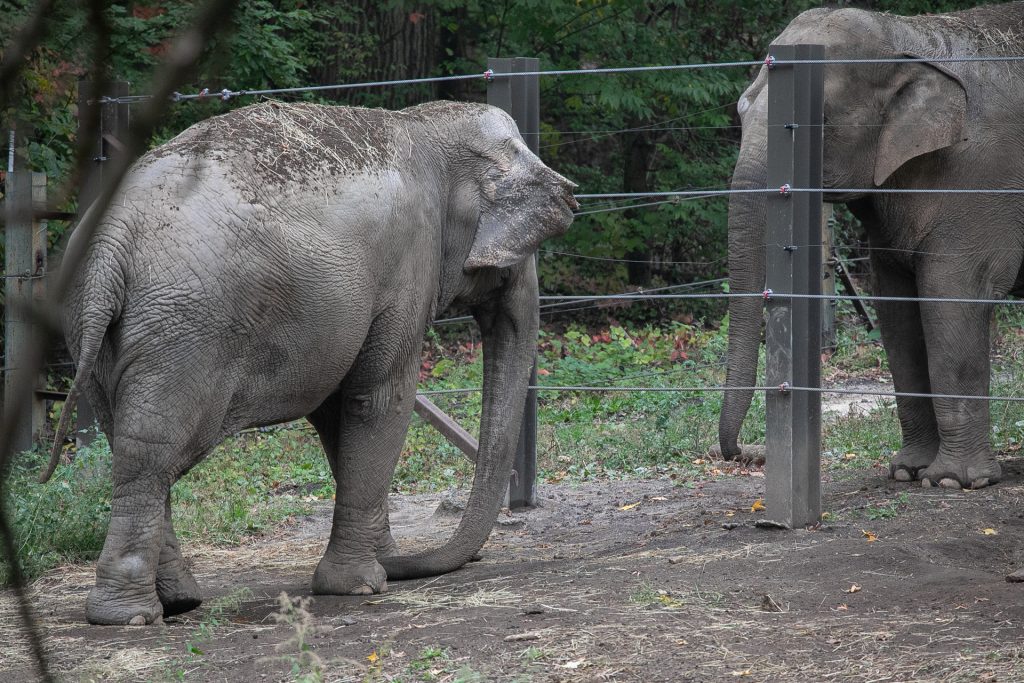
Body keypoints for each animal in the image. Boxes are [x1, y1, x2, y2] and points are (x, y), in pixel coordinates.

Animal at [45, 99, 577, 625]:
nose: (475, 556)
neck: (423, 123)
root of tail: (110, 241)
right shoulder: (407, 268)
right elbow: (379, 399)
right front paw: (362, 584)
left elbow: (336, 413)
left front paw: (381, 563)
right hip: (183, 331)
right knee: (152, 455)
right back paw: (130, 615)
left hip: (98, 330)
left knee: (129, 442)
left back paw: (178, 600)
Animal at [717, 3, 1024, 489]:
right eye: (741, 112)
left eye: (818, 122)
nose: (747, 454)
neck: (909, 34)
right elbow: (896, 308)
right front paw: (907, 472)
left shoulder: (982, 182)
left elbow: (952, 296)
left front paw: (953, 481)